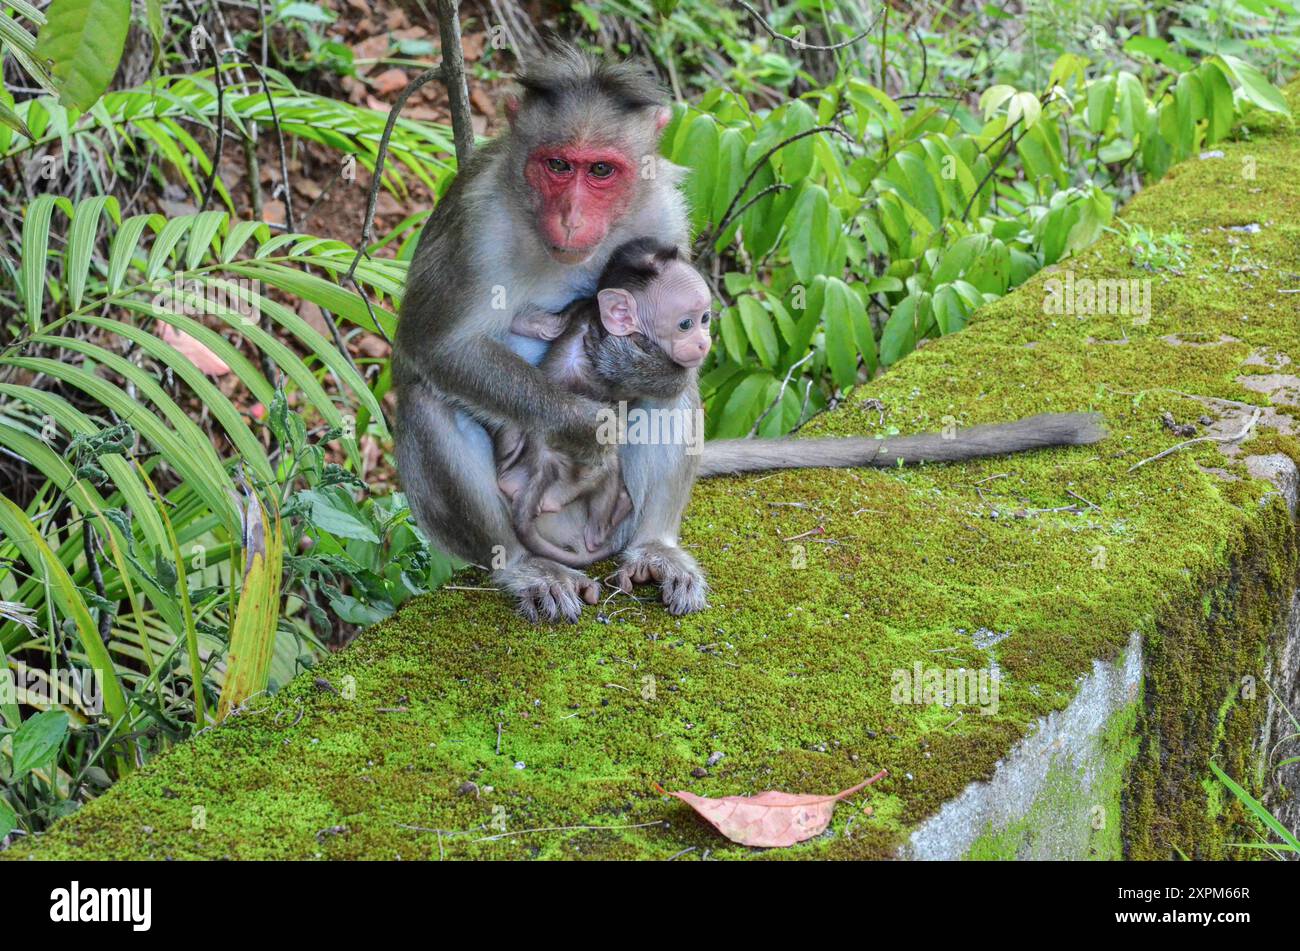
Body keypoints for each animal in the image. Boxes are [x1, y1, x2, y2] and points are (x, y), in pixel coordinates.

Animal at [495, 237, 712, 568]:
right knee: (606, 468)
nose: (704, 343)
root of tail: (541, 463)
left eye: (706, 319)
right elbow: (668, 380)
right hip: (575, 470)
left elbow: (544, 326)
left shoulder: (583, 307)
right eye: (686, 324)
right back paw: (602, 522)